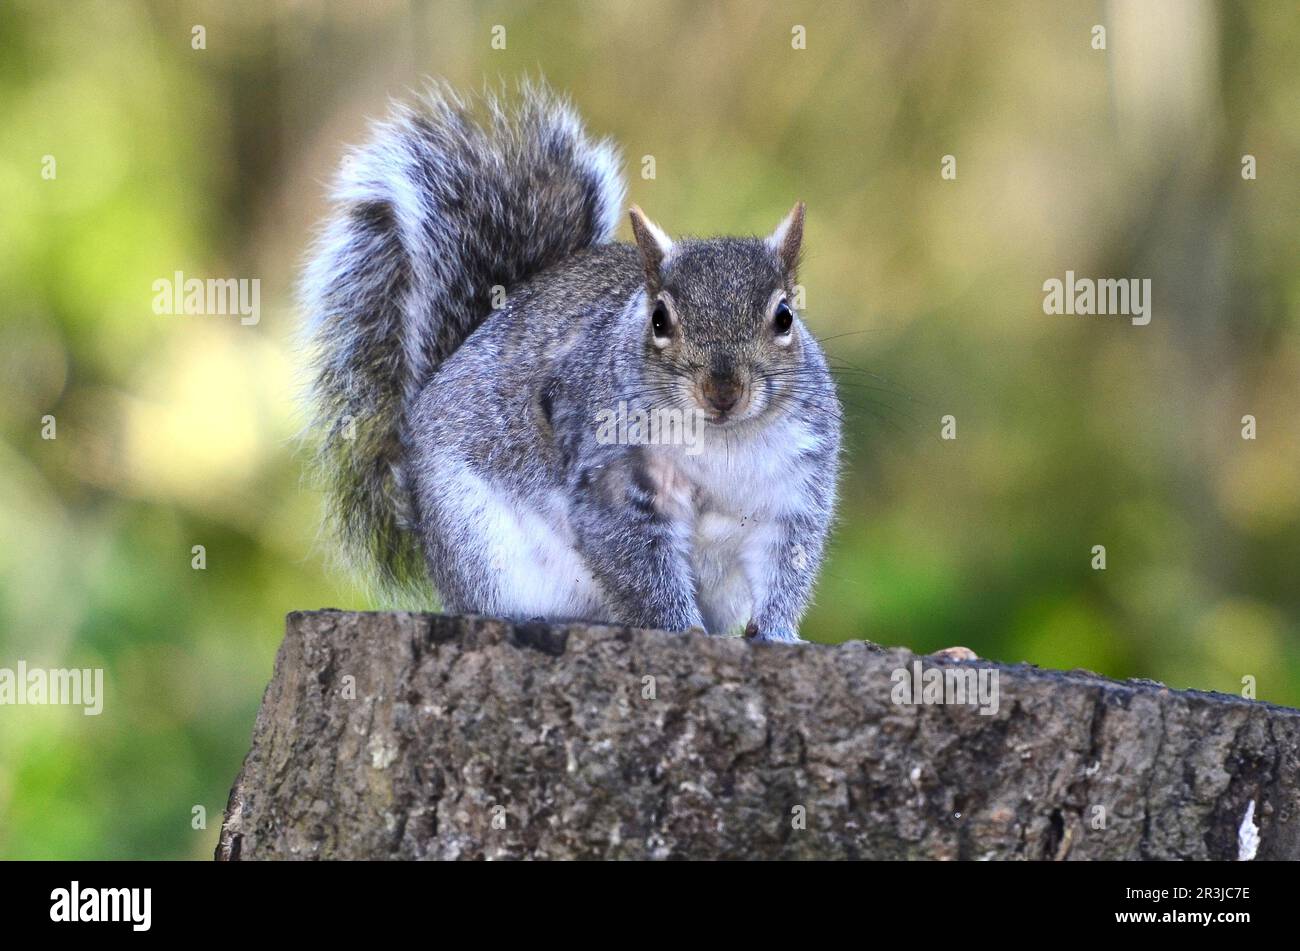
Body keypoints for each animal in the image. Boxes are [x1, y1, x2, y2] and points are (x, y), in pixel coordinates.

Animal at [302, 81, 841, 642]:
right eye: (659, 320)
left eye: (784, 317)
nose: (722, 392)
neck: (722, 442)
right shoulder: (610, 478)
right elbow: (640, 566)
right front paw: (678, 628)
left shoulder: (797, 490)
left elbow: (787, 567)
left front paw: (778, 634)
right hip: (475, 537)